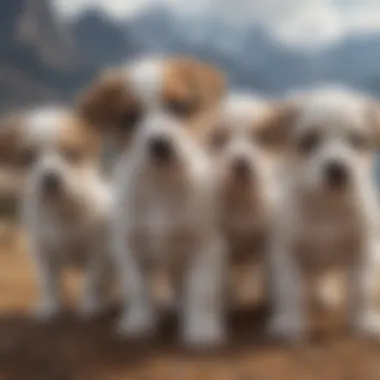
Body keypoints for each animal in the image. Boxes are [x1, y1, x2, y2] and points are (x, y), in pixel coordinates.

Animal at [0, 107, 113, 320]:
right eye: (28, 158)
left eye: (71, 154)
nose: (50, 178)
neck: (60, 209)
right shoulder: (44, 252)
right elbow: (49, 283)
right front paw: (50, 307)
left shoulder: (99, 251)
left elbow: (93, 280)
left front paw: (90, 306)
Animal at [77, 55, 226, 348]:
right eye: (129, 118)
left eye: (180, 107)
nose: (160, 144)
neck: (162, 186)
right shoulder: (128, 245)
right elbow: (136, 287)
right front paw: (139, 322)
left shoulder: (206, 244)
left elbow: (200, 290)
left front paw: (201, 329)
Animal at [205, 94, 282, 306]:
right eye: (220, 139)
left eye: (262, 138)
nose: (241, 164)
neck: (242, 199)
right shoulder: (220, 244)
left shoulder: (268, 240)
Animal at [266, 87, 380, 342]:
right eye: (308, 141)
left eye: (357, 140)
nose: (337, 169)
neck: (328, 205)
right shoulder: (286, 252)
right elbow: (290, 290)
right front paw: (290, 323)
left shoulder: (362, 249)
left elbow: (360, 289)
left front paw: (364, 322)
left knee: (323, 277)